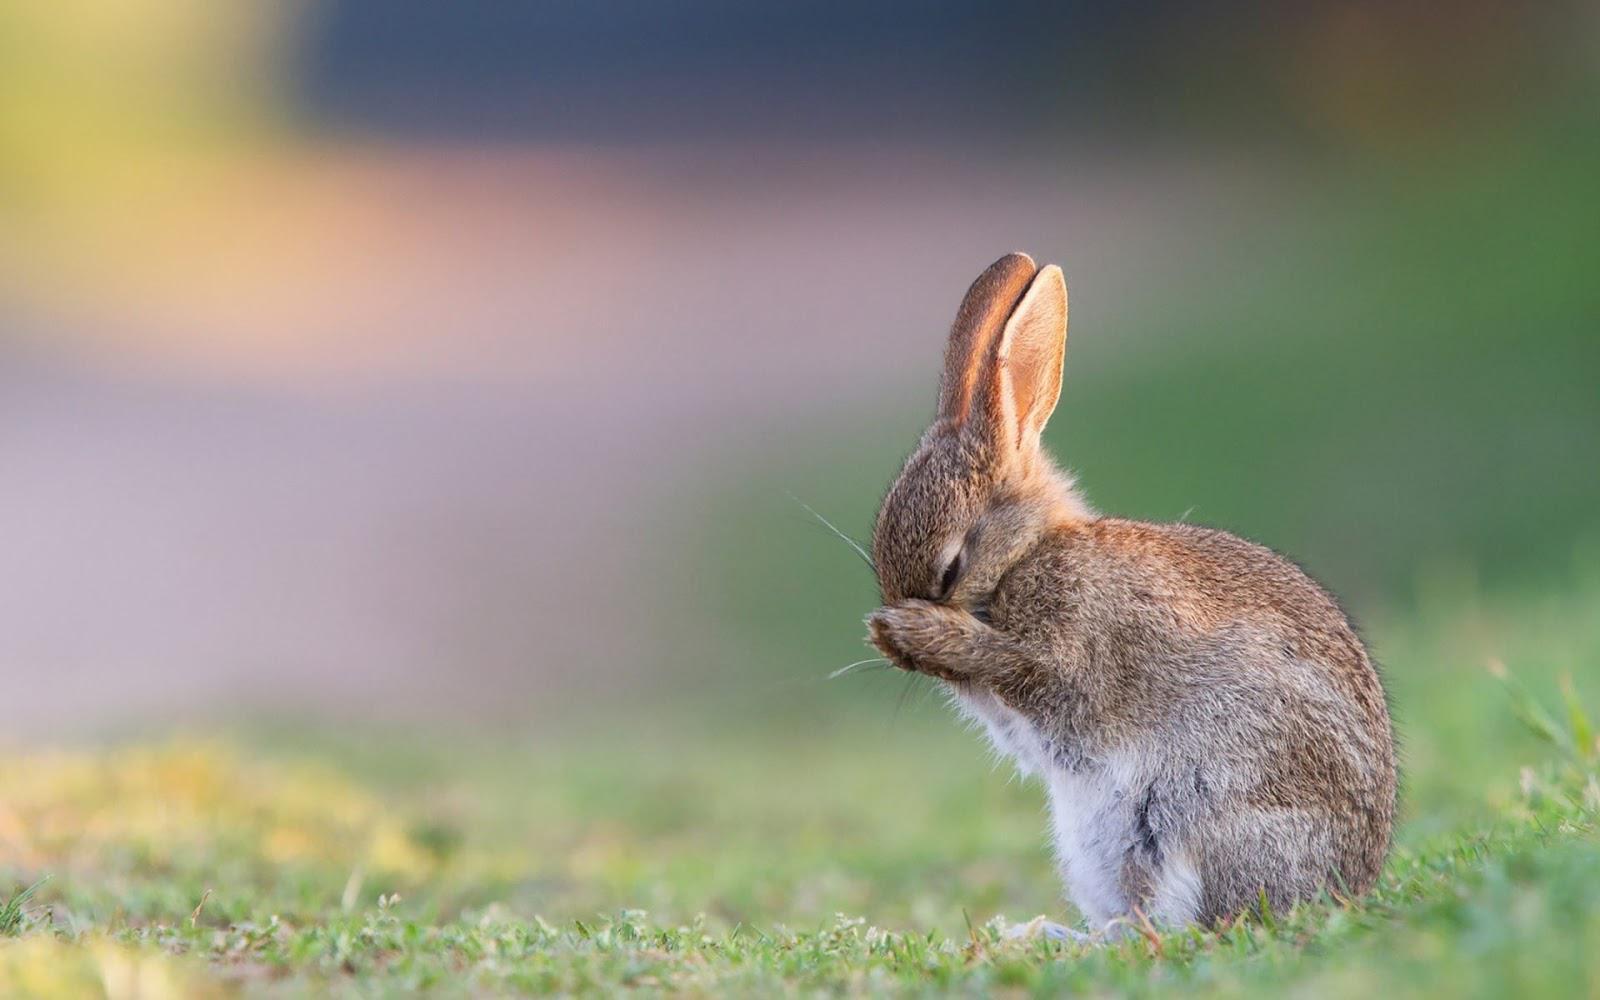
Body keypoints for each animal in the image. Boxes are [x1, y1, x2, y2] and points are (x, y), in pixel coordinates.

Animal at [866, 252, 1395, 936]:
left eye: (951, 568)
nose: (893, 644)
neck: (1026, 554)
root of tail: (1345, 889)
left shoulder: (1070, 652)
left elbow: (1026, 669)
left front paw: (916, 632)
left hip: (1196, 818)